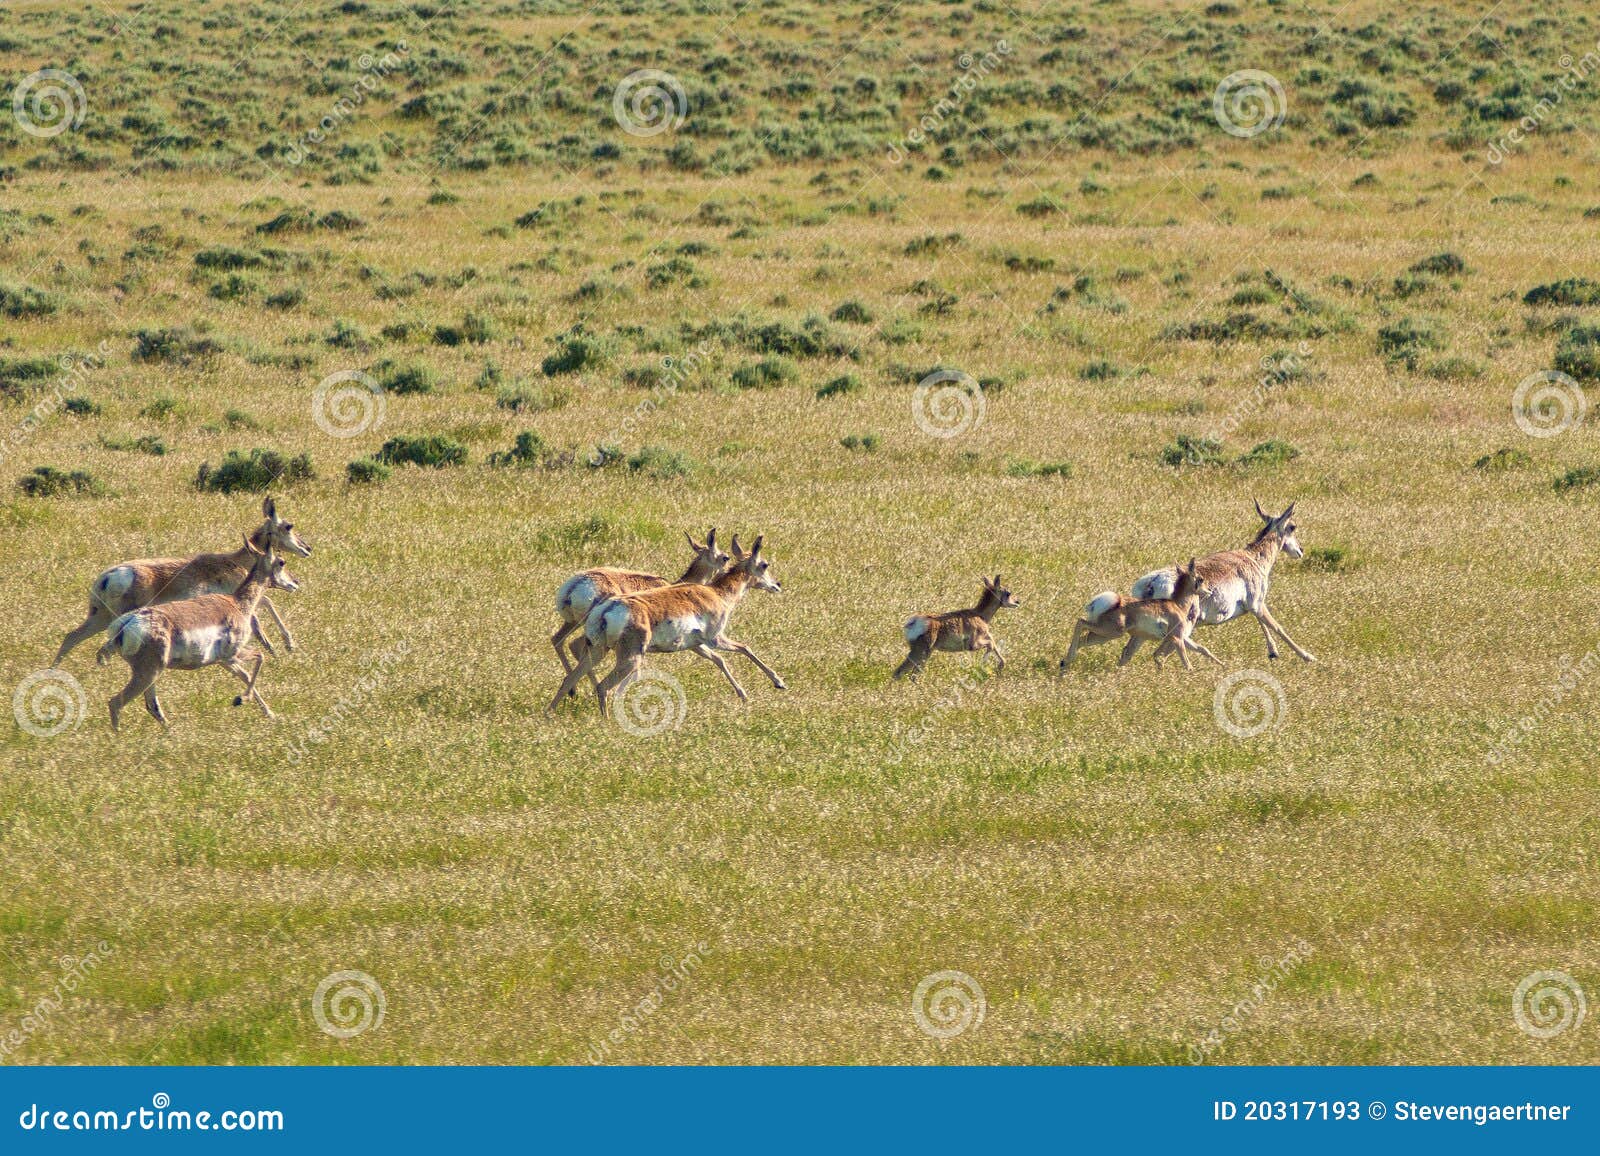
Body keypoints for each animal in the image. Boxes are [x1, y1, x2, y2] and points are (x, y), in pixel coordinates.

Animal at [55, 496, 311, 665]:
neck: (237, 560)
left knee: (72, 637)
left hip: (99, 617)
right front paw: (284, 647)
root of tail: (108, 576)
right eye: (289, 526)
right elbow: (265, 611)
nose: (307, 548)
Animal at [96, 537, 295, 731]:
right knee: (116, 703)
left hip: (151, 675)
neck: (236, 604)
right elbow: (260, 657)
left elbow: (245, 675)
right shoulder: (233, 654)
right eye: (281, 561)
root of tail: (125, 624)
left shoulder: (224, 661)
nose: (295, 582)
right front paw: (240, 699)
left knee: (151, 706)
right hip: (148, 673)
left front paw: (269, 713)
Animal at [550, 528, 729, 678]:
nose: (728, 572)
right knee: (575, 645)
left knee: (558, 640)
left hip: (573, 623)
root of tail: (574, 586)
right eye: (725, 557)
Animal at [1061, 558, 1221, 670]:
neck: (1178, 605)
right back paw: (1068, 660)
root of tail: (1114, 602)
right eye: (1200, 578)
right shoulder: (1177, 639)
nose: (1210, 590)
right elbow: (1186, 662)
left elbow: (1202, 649)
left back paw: (1065, 664)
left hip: (1103, 636)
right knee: (1080, 622)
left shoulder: (1182, 638)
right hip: (1111, 632)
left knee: (1082, 639)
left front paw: (1222, 665)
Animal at [1133, 501, 1317, 663]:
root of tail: (1149, 584)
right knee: (1164, 652)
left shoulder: (1252, 606)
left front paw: (1273, 652)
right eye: (1292, 526)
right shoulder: (1257, 603)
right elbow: (1278, 627)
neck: (1253, 558)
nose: (1301, 550)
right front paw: (1308, 657)